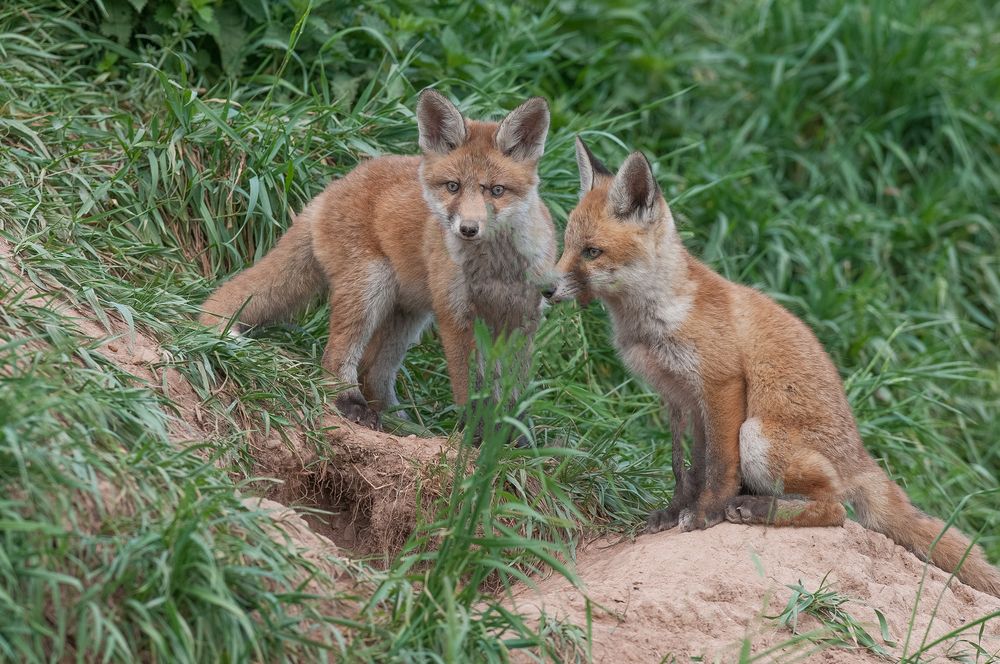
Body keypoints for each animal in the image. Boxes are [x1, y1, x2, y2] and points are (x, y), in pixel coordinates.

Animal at [199, 90, 556, 431]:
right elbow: (472, 389)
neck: (497, 268)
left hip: (408, 313)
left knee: (373, 372)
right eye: (453, 187)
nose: (468, 229)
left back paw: (406, 425)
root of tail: (329, 189)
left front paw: (514, 434)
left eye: (496, 191)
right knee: (336, 357)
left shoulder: (521, 319)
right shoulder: (457, 316)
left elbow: (514, 389)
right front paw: (480, 436)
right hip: (372, 285)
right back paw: (351, 403)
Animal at [545, 137, 1000, 597]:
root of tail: (860, 455)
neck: (657, 318)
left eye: (592, 252)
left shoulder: (721, 385)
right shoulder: (678, 398)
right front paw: (674, 511)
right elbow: (683, 467)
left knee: (836, 509)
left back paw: (756, 509)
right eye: (566, 246)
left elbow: (717, 466)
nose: (545, 288)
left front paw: (706, 513)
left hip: (757, 436)